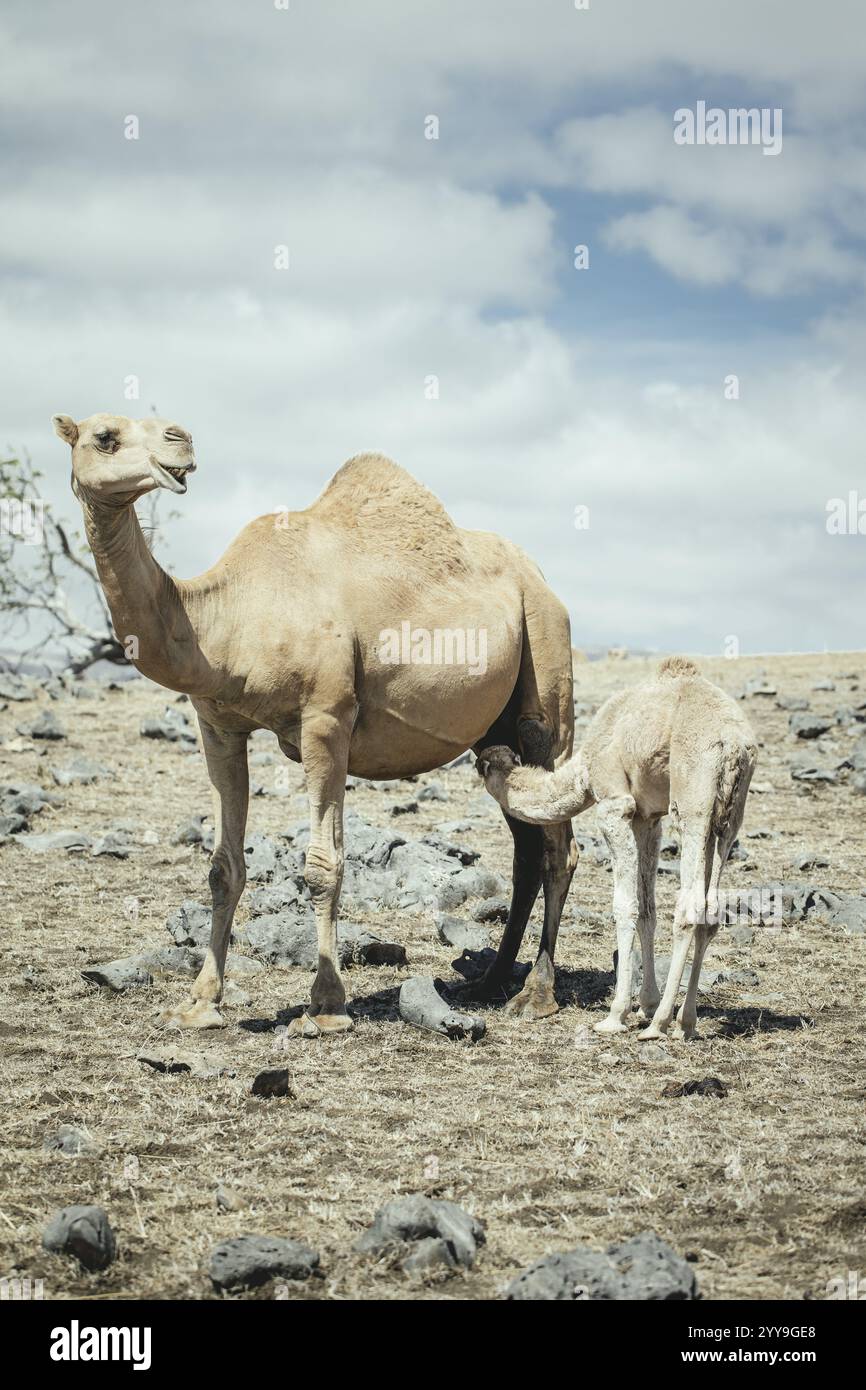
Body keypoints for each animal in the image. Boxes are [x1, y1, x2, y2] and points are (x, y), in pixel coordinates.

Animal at [52, 412, 577, 1035]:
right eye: (104, 437)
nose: (179, 441)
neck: (223, 621)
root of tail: (541, 579)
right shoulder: (218, 725)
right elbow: (223, 867)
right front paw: (201, 1002)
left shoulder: (325, 718)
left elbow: (324, 864)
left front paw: (326, 1005)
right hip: (493, 733)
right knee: (525, 845)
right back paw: (492, 980)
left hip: (545, 675)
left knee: (558, 842)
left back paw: (537, 992)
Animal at [476, 658, 758, 1040]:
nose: (477, 759)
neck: (583, 770)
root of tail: (733, 742)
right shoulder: (646, 818)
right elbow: (647, 910)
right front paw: (646, 1003)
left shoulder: (615, 804)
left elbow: (625, 907)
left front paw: (618, 1013)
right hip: (729, 813)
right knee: (711, 910)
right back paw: (685, 1023)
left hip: (694, 797)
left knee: (690, 908)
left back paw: (660, 1024)